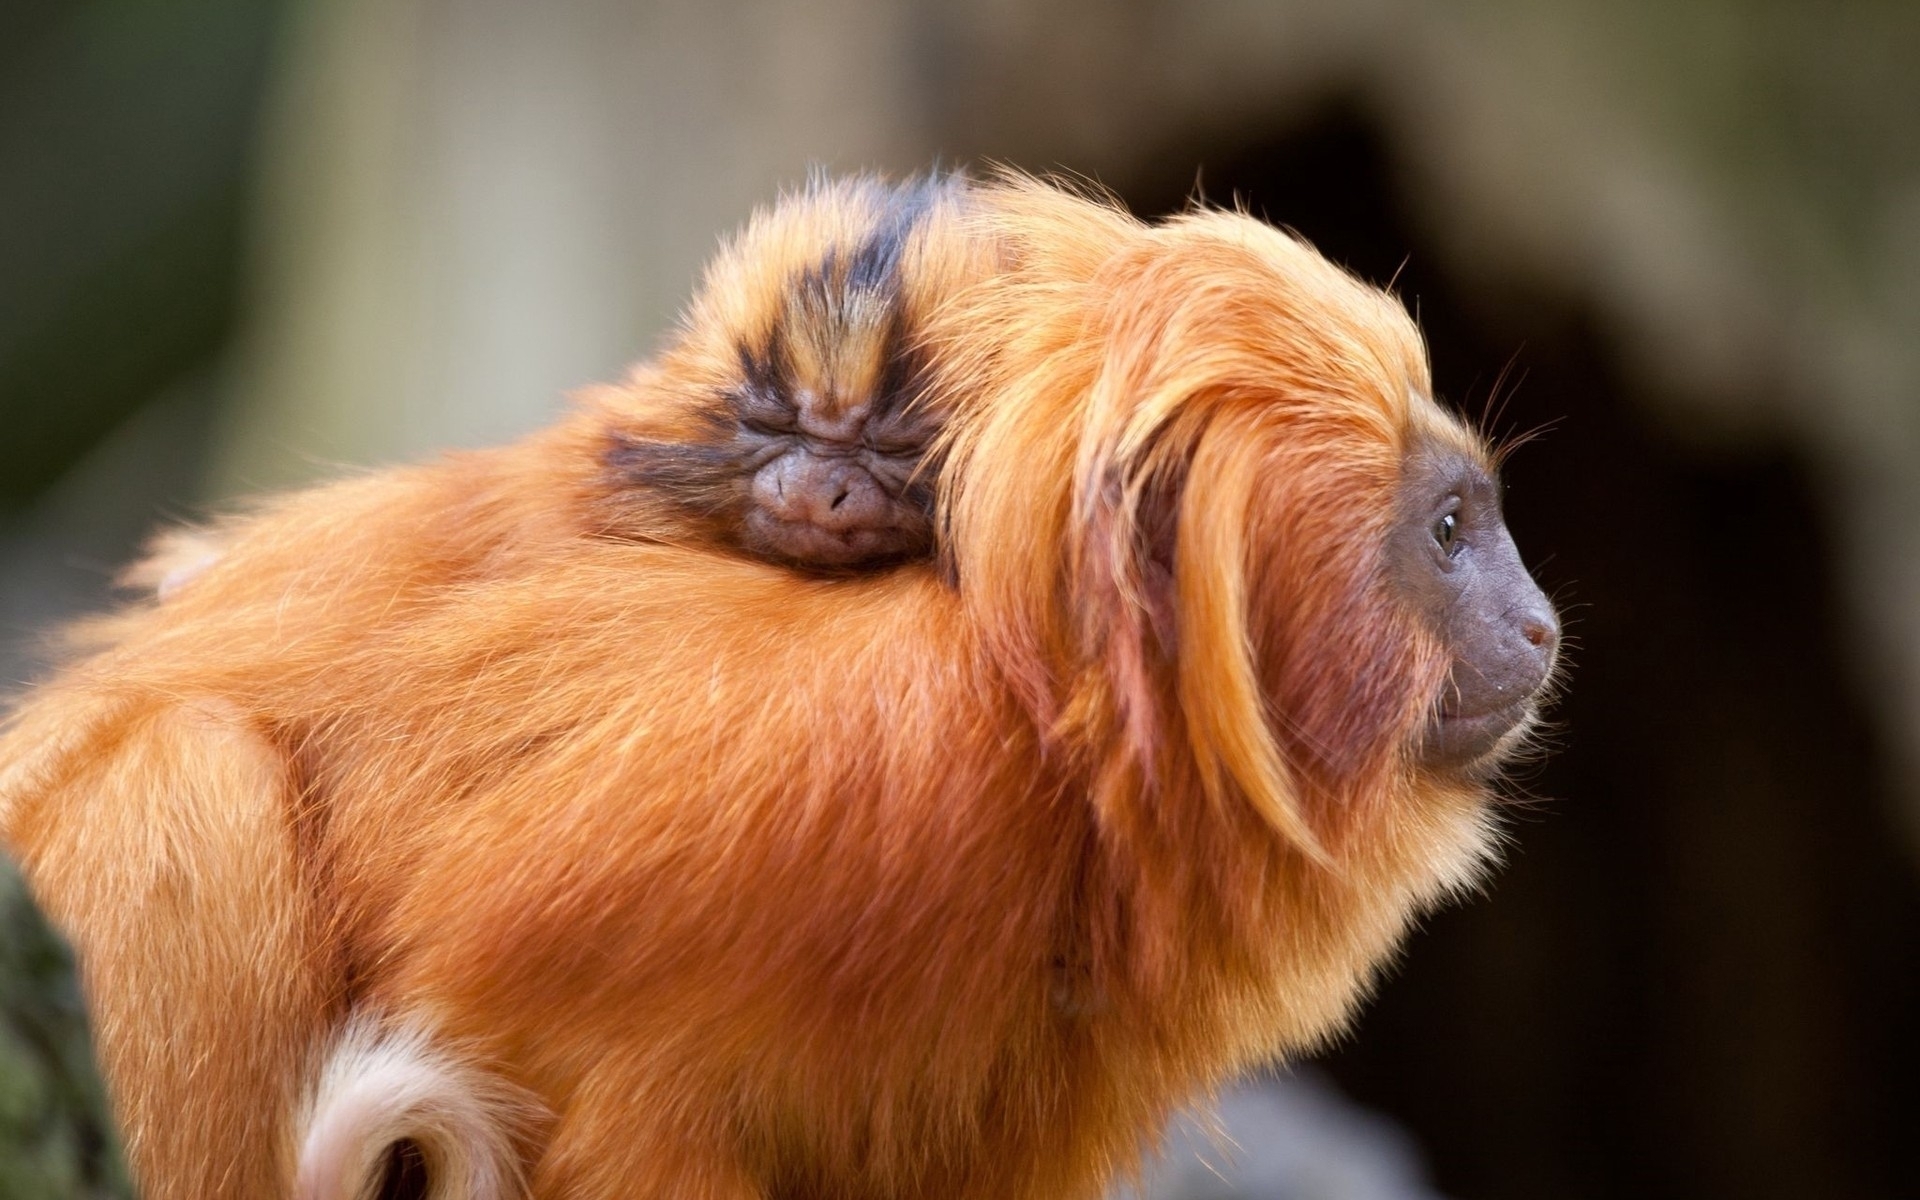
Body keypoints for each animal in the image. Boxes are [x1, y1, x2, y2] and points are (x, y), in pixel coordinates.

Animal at [0, 174, 1559, 1200]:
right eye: (1450, 532)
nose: (1540, 627)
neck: (1051, 720)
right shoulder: (849, 778)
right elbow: (539, 1029)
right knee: (194, 775)